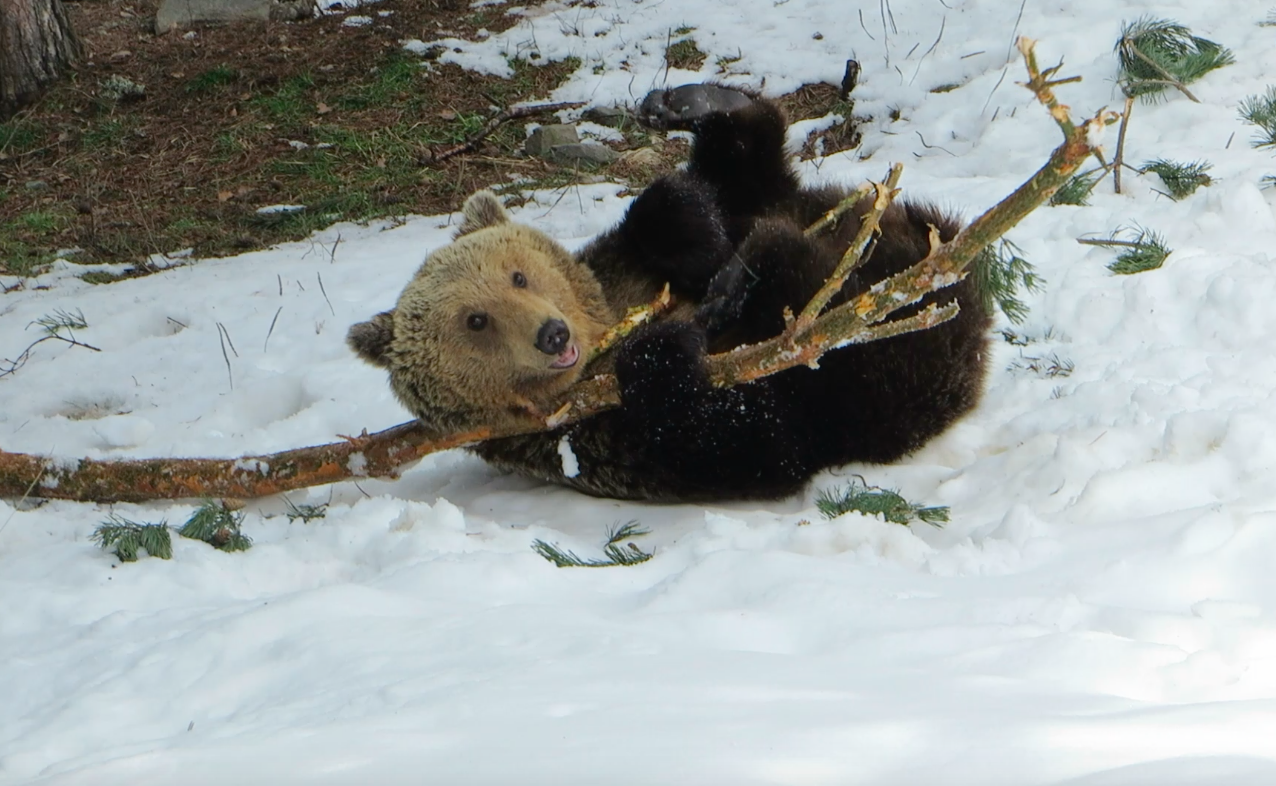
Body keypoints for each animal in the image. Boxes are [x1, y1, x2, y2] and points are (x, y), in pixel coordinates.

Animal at [347, 84, 991, 502]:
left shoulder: (623, 259)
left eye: (517, 275)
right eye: (475, 321)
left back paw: (699, 109)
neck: (610, 319)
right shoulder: (582, 440)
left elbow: (683, 211)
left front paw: (697, 244)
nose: (551, 333)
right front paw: (679, 336)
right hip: (884, 381)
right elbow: (738, 438)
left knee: (757, 178)